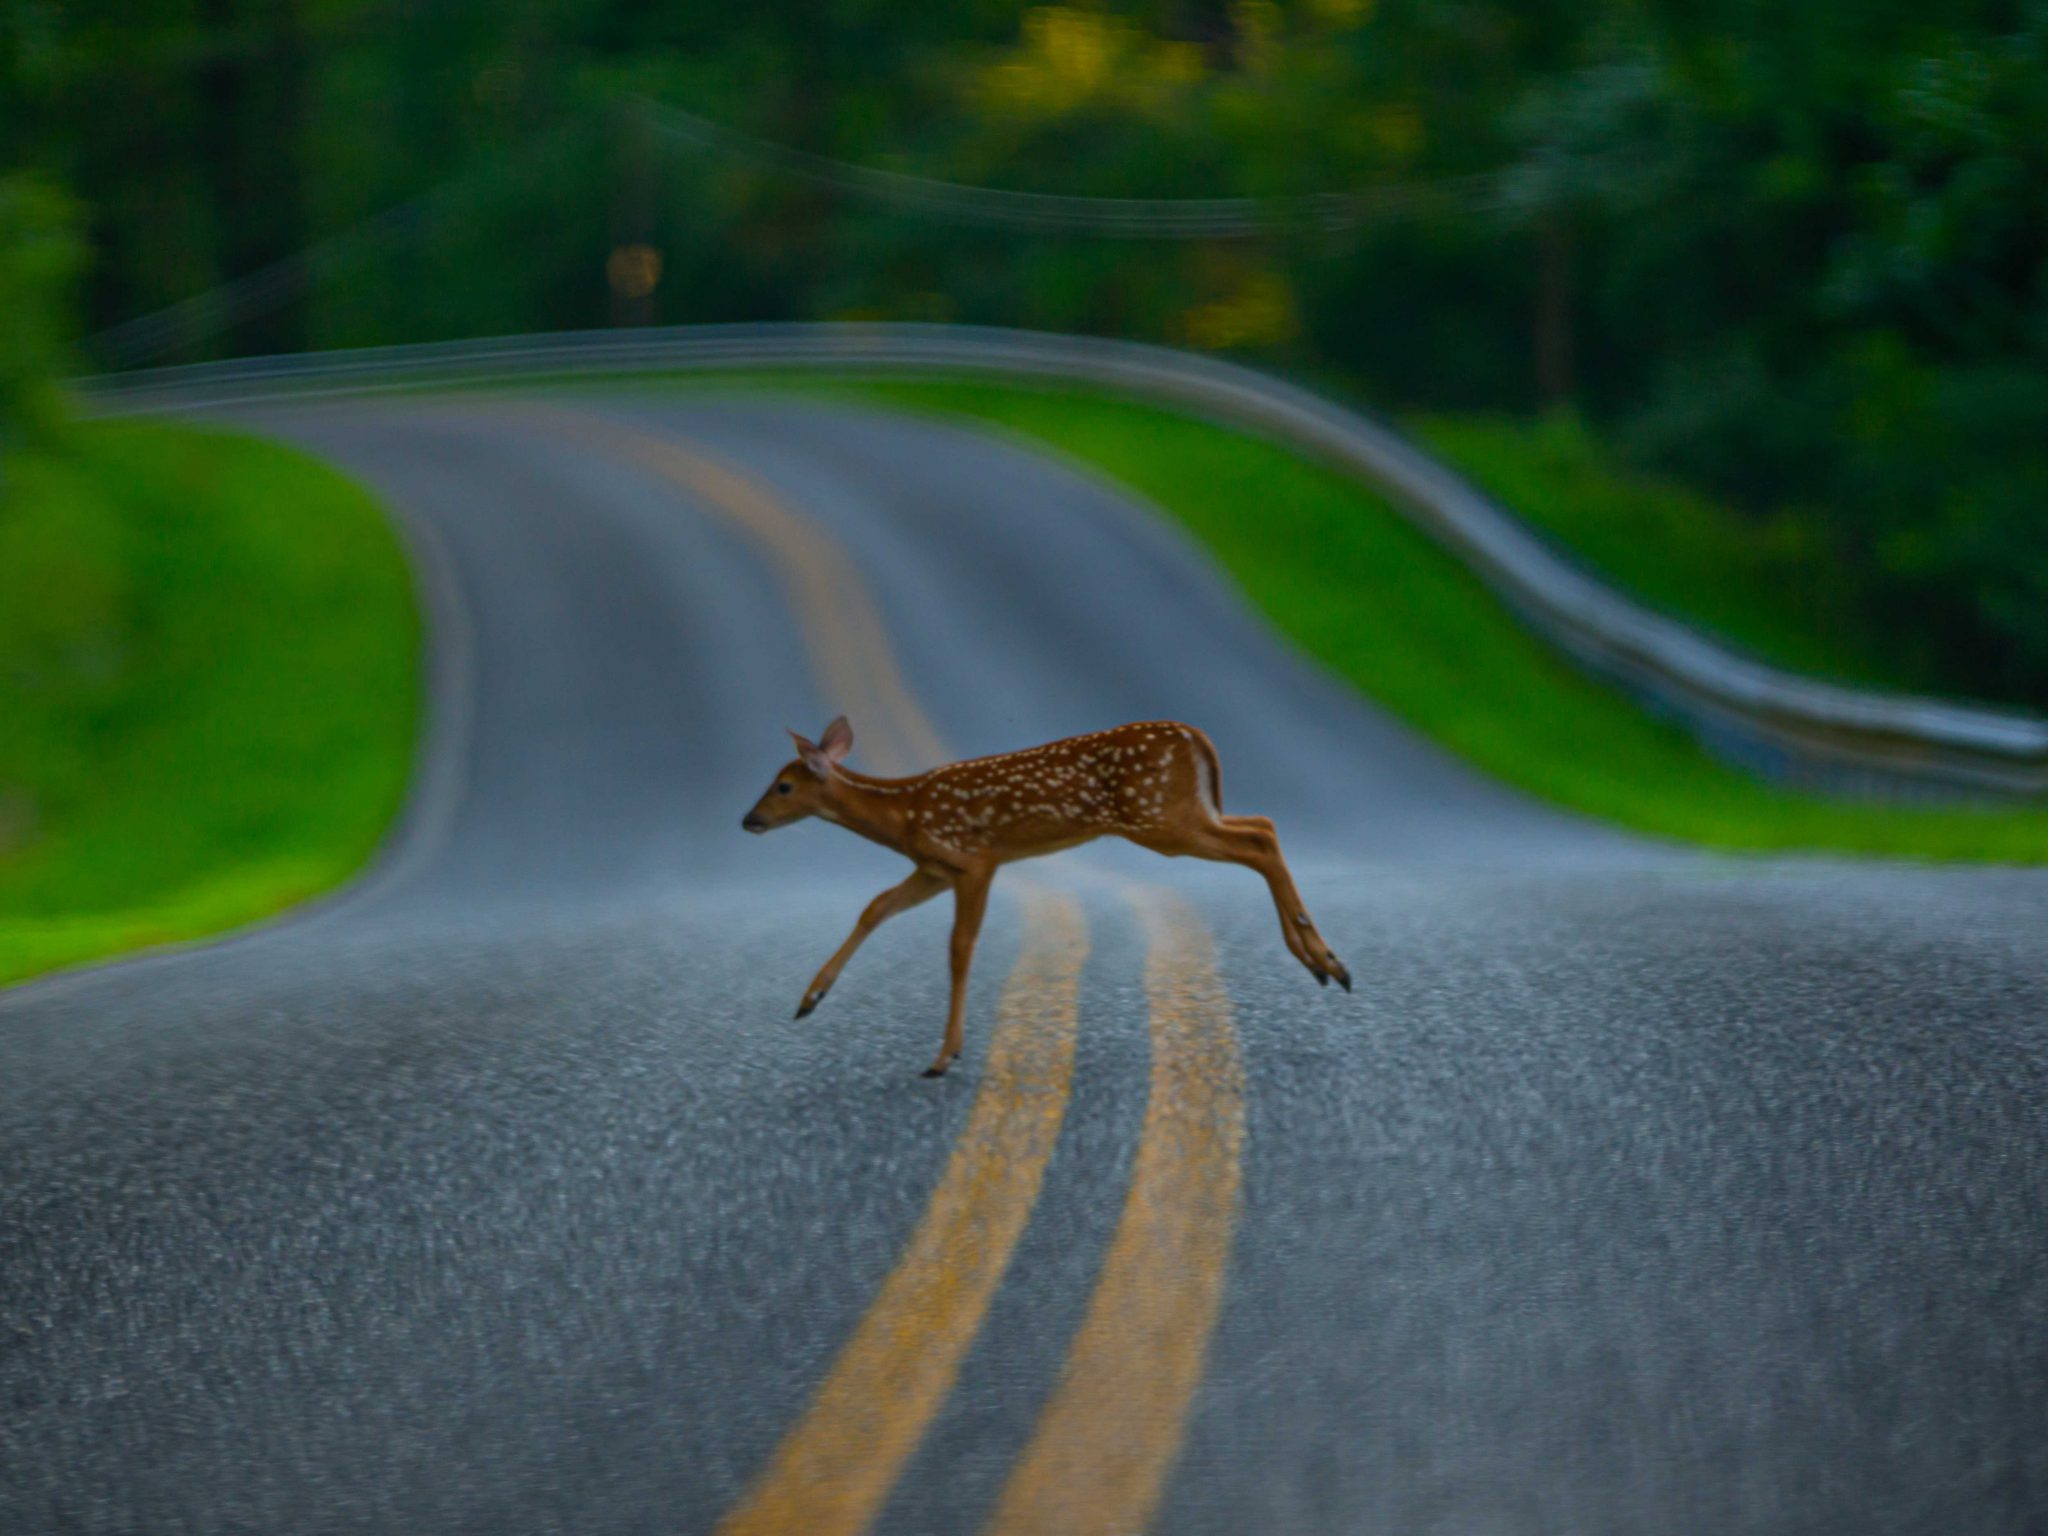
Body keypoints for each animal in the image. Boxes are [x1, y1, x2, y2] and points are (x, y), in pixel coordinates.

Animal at [741, 716, 1350, 1077]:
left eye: (784, 785)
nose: (749, 820)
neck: (903, 814)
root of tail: (1196, 737)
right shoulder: (934, 868)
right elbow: (874, 907)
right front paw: (810, 998)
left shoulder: (975, 859)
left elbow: (960, 947)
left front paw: (945, 1055)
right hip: (1184, 813)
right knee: (1264, 825)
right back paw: (1323, 963)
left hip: (1160, 819)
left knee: (1258, 841)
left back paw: (1326, 961)